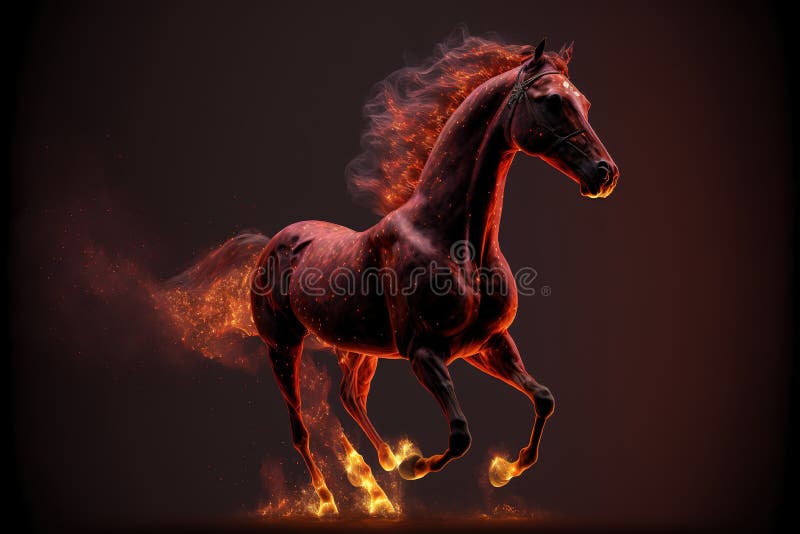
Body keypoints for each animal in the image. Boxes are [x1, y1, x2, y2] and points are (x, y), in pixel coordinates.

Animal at [167, 36, 618, 516]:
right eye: (551, 101)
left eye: (585, 102)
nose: (604, 174)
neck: (452, 240)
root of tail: (274, 242)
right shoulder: (424, 353)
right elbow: (460, 435)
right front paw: (415, 465)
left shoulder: (487, 343)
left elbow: (543, 398)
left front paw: (503, 470)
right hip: (283, 347)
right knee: (301, 430)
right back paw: (331, 498)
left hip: (358, 348)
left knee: (349, 395)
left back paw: (381, 470)